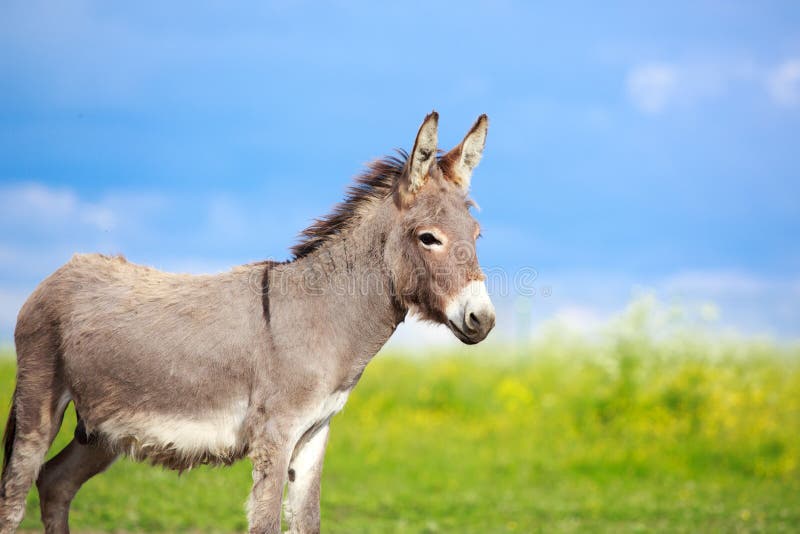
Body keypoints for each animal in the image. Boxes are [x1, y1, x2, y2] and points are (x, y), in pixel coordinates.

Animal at [0, 112, 495, 533]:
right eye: (428, 238)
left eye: (476, 235)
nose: (484, 319)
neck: (324, 316)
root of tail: (63, 269)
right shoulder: (275, 434)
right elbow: (266, 522)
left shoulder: (314, 435)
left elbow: (308, 521)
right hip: (39, 402)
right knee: (15, 497)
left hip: (101, 430)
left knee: (55, 483)